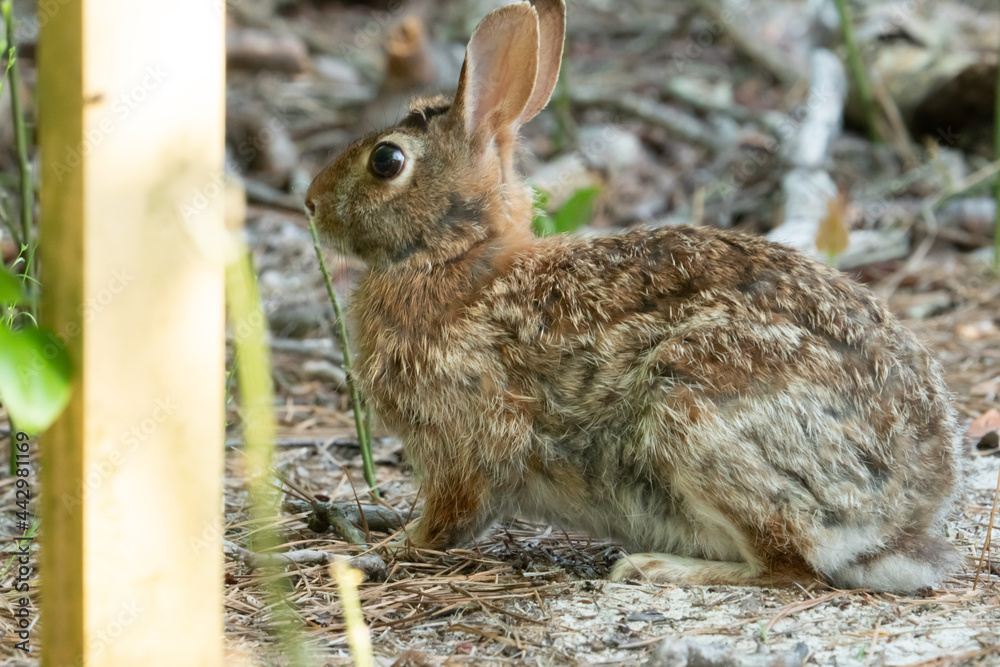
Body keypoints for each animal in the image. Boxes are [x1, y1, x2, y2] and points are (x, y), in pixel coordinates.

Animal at [305, 0, 965, 594]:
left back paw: (655, 567)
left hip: (695, 413)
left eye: (386, 160)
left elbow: (448, 518)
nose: (310, 202)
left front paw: (391, 547)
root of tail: (899, 513)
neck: (460, 257)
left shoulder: (464, 444)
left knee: (788, 565)